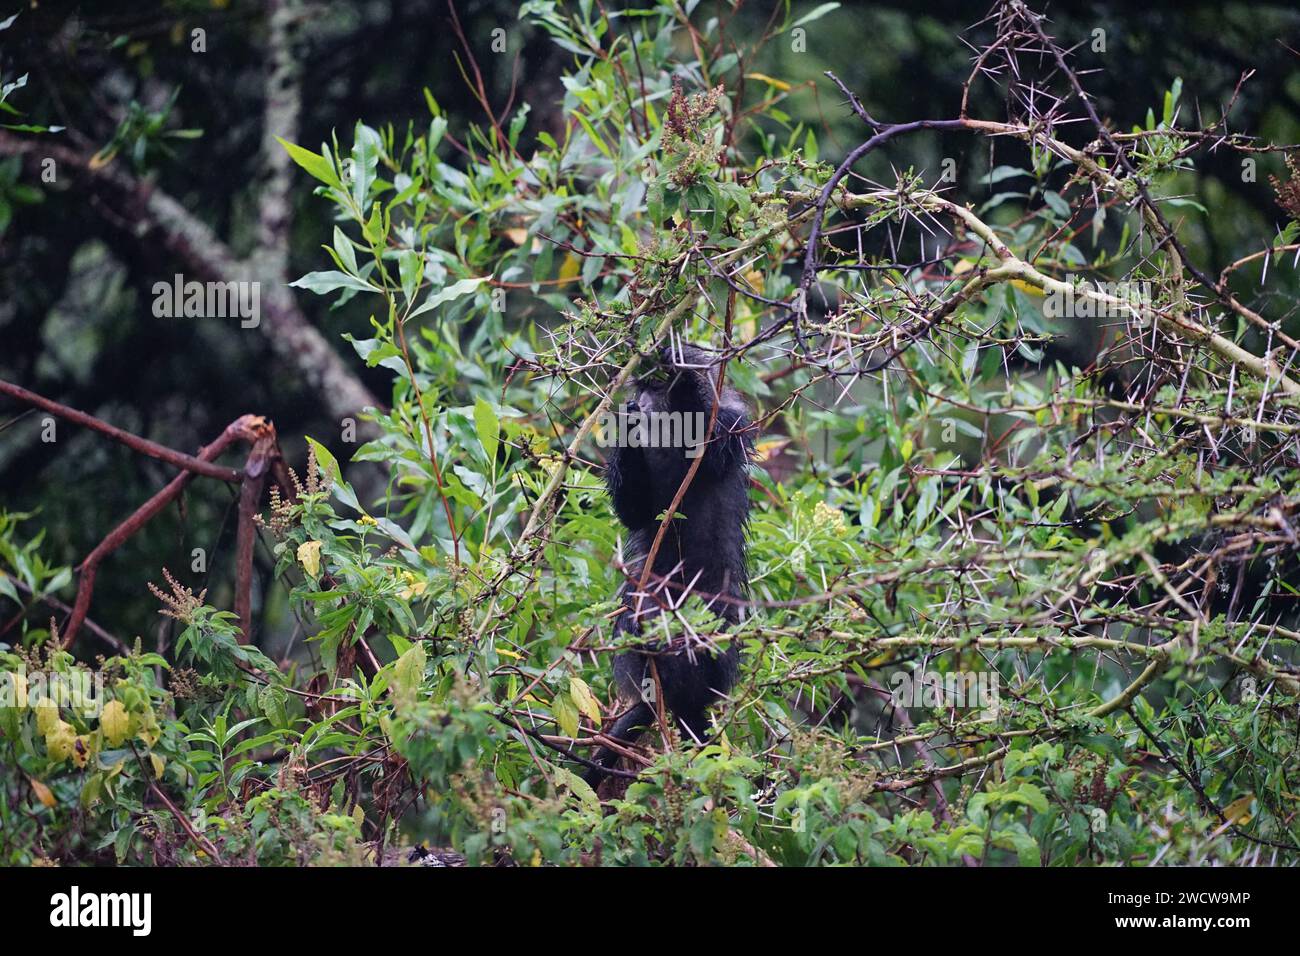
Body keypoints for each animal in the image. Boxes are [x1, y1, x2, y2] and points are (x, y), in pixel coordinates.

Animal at [583, 343, 754, 787]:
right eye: (640, 387)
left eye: (657, 386)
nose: (639, 403)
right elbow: (635, 510)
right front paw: (625, 427)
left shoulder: (732, 422)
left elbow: (713, 443)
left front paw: (681, 365)